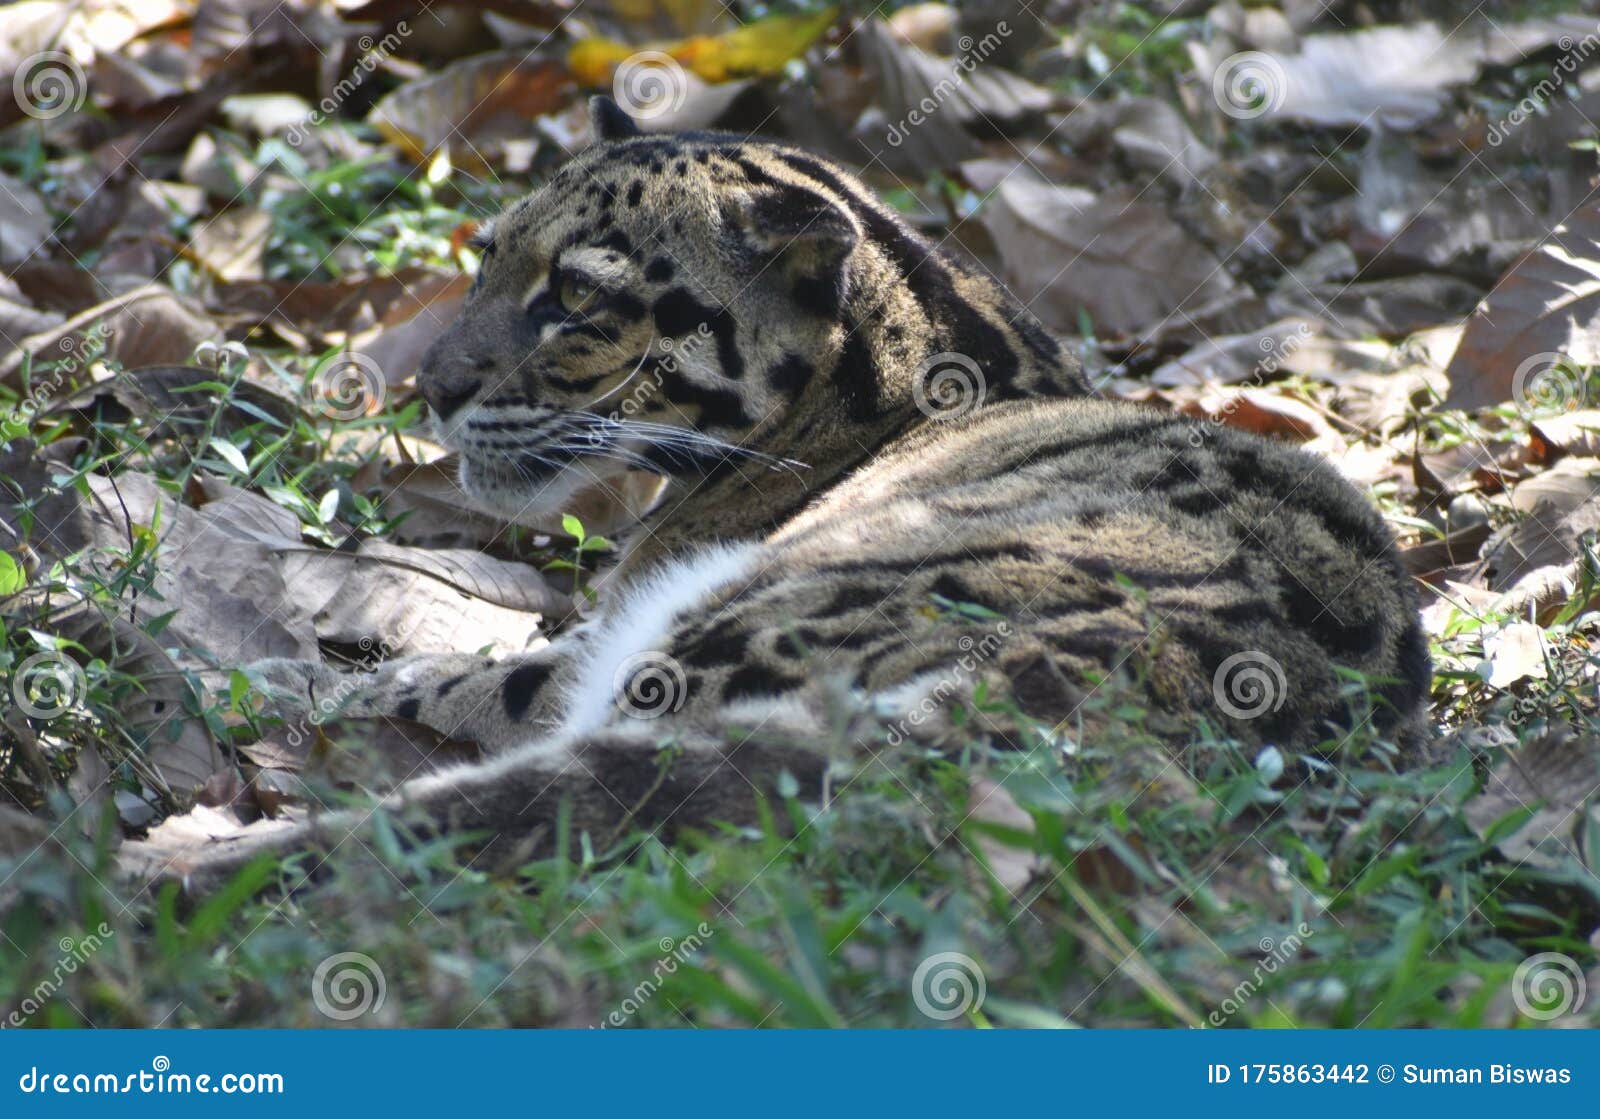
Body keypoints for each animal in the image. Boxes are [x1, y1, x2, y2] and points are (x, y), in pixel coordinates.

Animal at [127, 97, 1429, 881]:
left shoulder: (606, 634)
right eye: (485, 255)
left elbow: (467, 674)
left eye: (576, 296)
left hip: (720, 638)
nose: (430, 390)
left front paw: (272, 671)